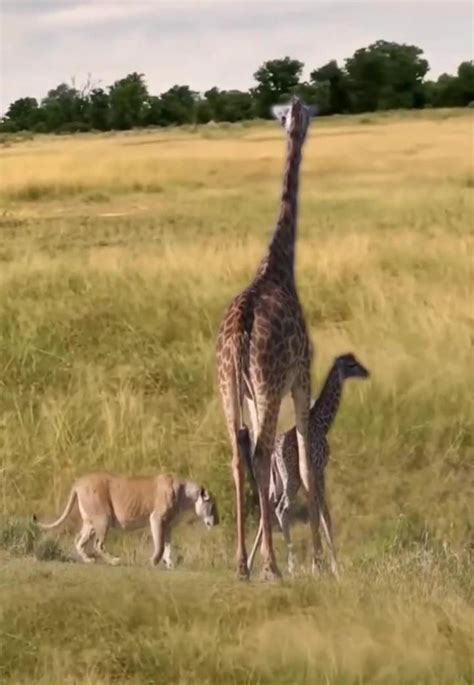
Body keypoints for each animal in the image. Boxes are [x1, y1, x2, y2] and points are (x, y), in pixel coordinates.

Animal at [33, 472, 219, 568]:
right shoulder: (156, 518)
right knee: (98, 544)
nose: (216, 522)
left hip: (90, 522)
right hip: (104, 518)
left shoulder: (168, 525)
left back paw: (88, 560)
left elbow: (167, 544)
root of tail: (78, 482)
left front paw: (169, 563)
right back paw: (115, 561)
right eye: (212, 505)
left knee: (78, 541)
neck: (187, 497)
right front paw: (154, 561)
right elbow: (159, 544)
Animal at [247, 353, 370, 577]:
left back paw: (257, 565)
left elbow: (318, 513)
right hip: (291, 479)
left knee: (267, 509)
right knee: (281, 508)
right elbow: (325, 514)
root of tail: (275, 454)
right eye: (351, 364)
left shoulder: (311, 474)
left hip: (278, 481)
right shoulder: (319, 469)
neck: (322, 422)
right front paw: (334, 568)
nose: (366, 372)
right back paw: (291, 567)